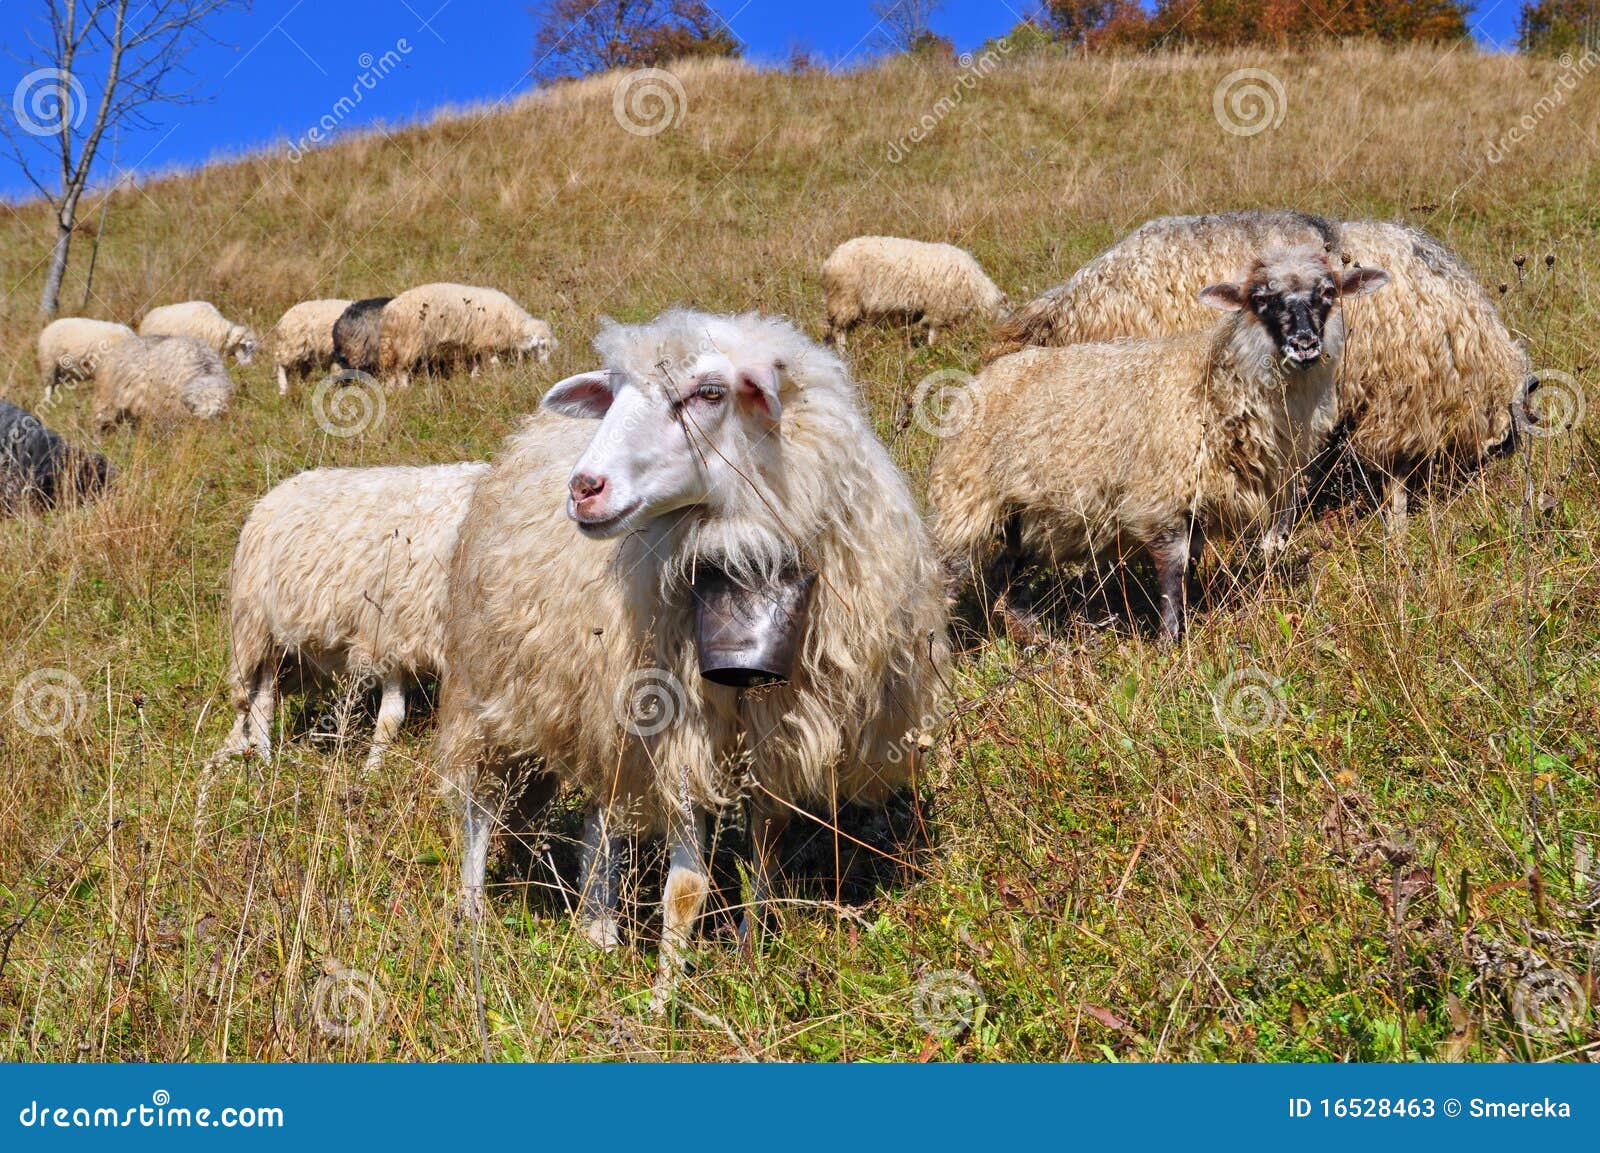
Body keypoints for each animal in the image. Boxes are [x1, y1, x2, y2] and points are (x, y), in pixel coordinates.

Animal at [211, 461, 489, 773]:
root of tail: (276, 492)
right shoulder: (389, 634)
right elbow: (391, 716)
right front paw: (371, 772)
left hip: (289, 651)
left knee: (260, 697)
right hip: (260, 629)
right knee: (261, 700)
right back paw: (265, 760)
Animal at [377, 284, 556, 388]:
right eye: (542, 346)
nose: (546, 366)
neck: (514, 323)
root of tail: (390, 310)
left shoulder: (478, 343)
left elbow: (477, 361)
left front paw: (474, 377)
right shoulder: (486, 340)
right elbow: (494, 363)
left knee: (393, 369)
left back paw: (391, 389)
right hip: (410, 340)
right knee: (401, 368)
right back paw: (405, 388)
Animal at [435, 309, 948, 1000]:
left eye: (708, 393)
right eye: (614, 390)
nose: (584, 489)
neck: (733, 546)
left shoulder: (779, 730)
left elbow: (764, 852)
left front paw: (750, 948)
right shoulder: (679, 728)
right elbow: (685, 887)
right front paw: (662, 997)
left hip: (601, 702)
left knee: (603, 816)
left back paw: (598, 927)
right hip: (490, 682)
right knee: (479, 808)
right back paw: (474, 918)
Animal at [821, 235, 1006, 348]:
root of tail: (830, 261)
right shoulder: (938, 309)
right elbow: (933, 331)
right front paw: (932, 348)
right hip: (844, 300)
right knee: (839, 331)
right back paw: (843, 353)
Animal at [930, 247, 1390, 640]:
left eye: (1327, 292)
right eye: (1261, 298)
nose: (1305, 345)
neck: (1215, 383)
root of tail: (987, 375)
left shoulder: (1197, 503)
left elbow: (1192, 564)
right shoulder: (1162, 497)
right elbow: (1173, 572)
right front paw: (1172, 642)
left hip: (1023, 515)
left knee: (1005, 573)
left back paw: (1033, 639)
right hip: (967, 500)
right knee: (951, 576)